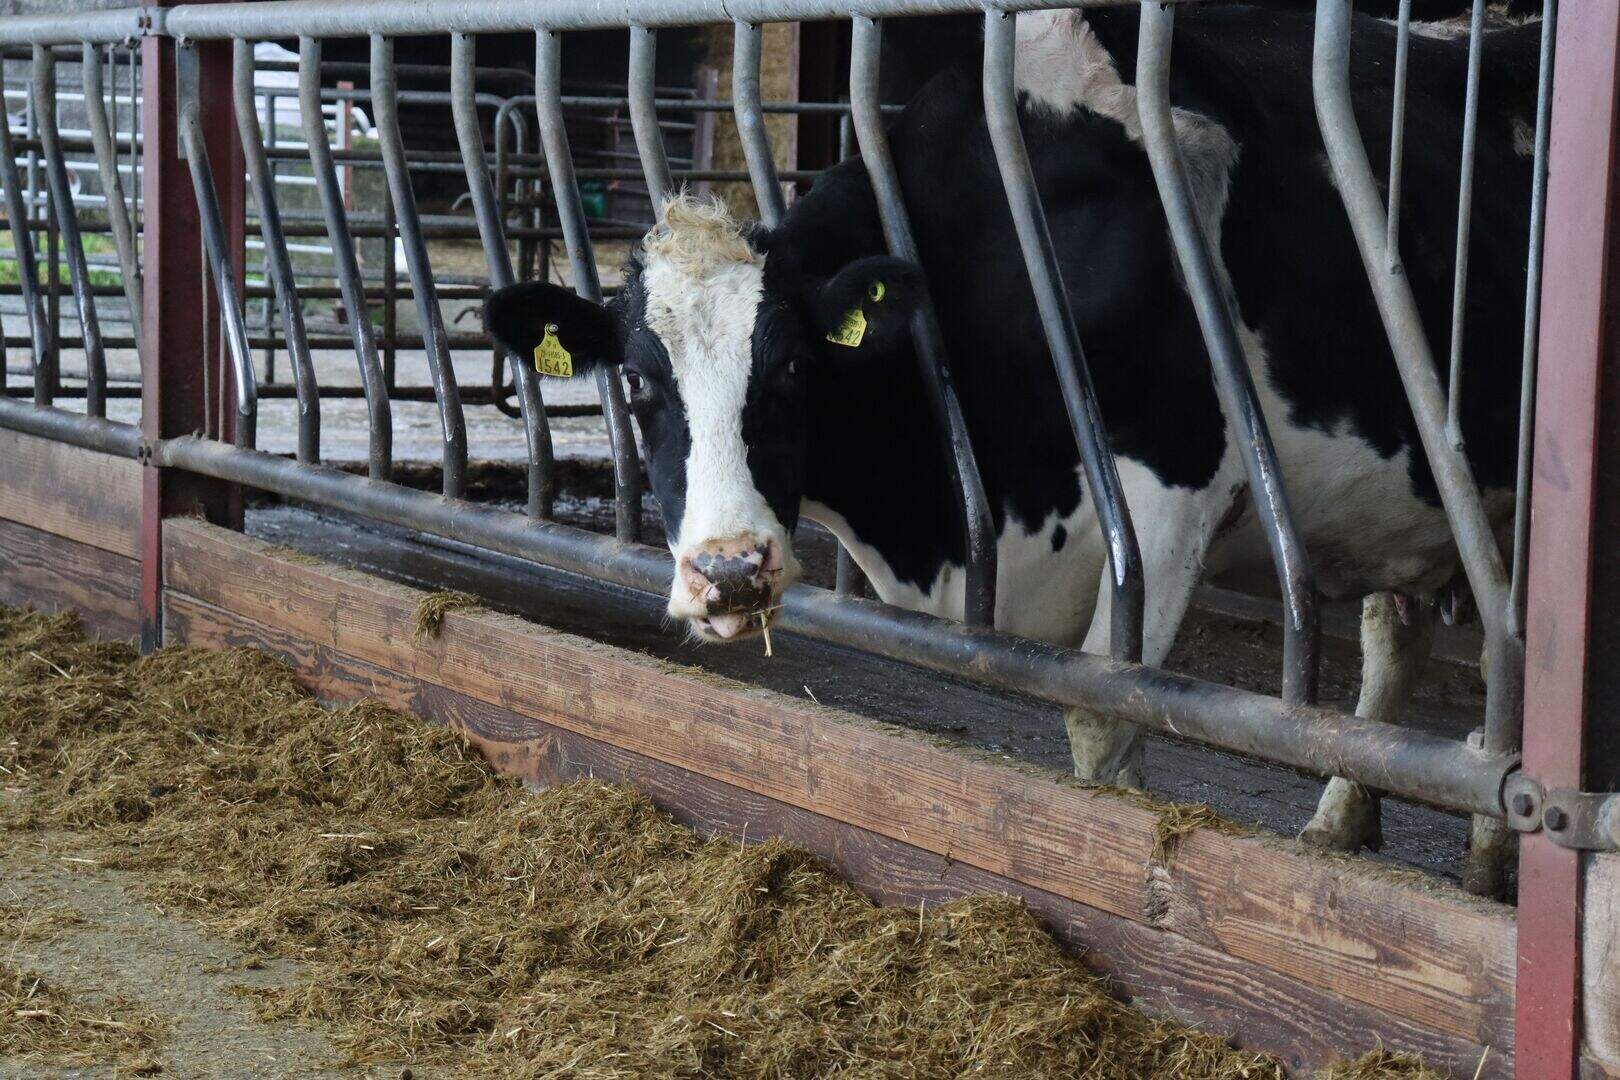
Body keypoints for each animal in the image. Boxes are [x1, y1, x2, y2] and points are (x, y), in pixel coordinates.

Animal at [485, 4, 1539, 859]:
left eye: (791, 369)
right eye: (636, 381)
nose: (729, 572)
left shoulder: (1170, 496)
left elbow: (1102, 729)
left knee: (1503, 659)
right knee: (1398, 638)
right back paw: (1340, 819)